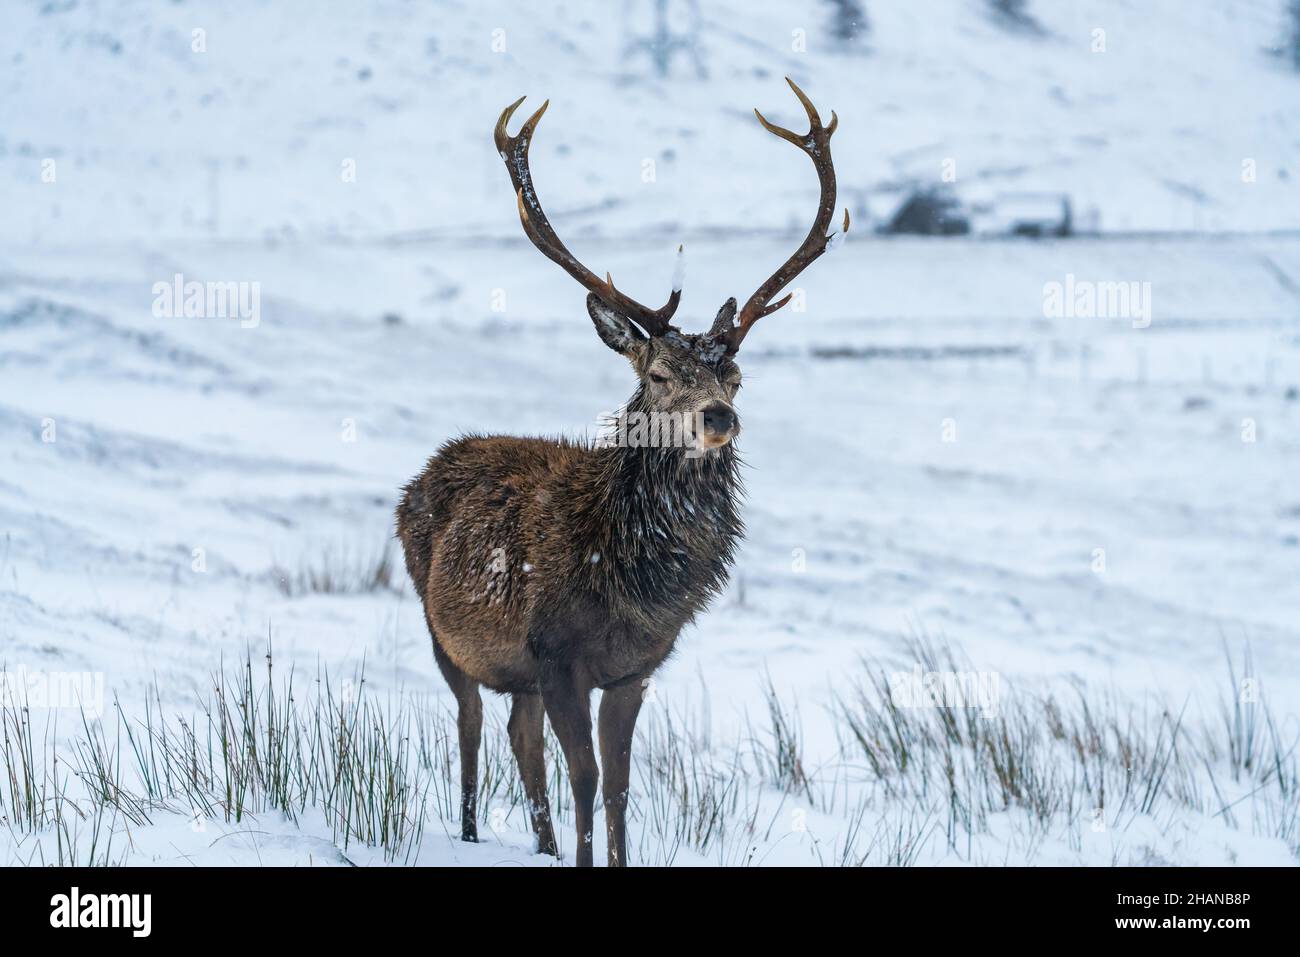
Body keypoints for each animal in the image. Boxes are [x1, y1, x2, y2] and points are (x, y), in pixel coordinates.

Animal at [396, 79, 846, 866]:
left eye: (734, 375)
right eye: (660, 373)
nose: (719, 417)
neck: (627, 578)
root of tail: (417, 477)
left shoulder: (634, 670)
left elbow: (618, 786)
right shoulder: (557, 657)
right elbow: (584, 776)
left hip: (518, 673)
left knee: (518, 735)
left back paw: (540, 847)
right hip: (440, 626)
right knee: (472, 723)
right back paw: (471, 831)